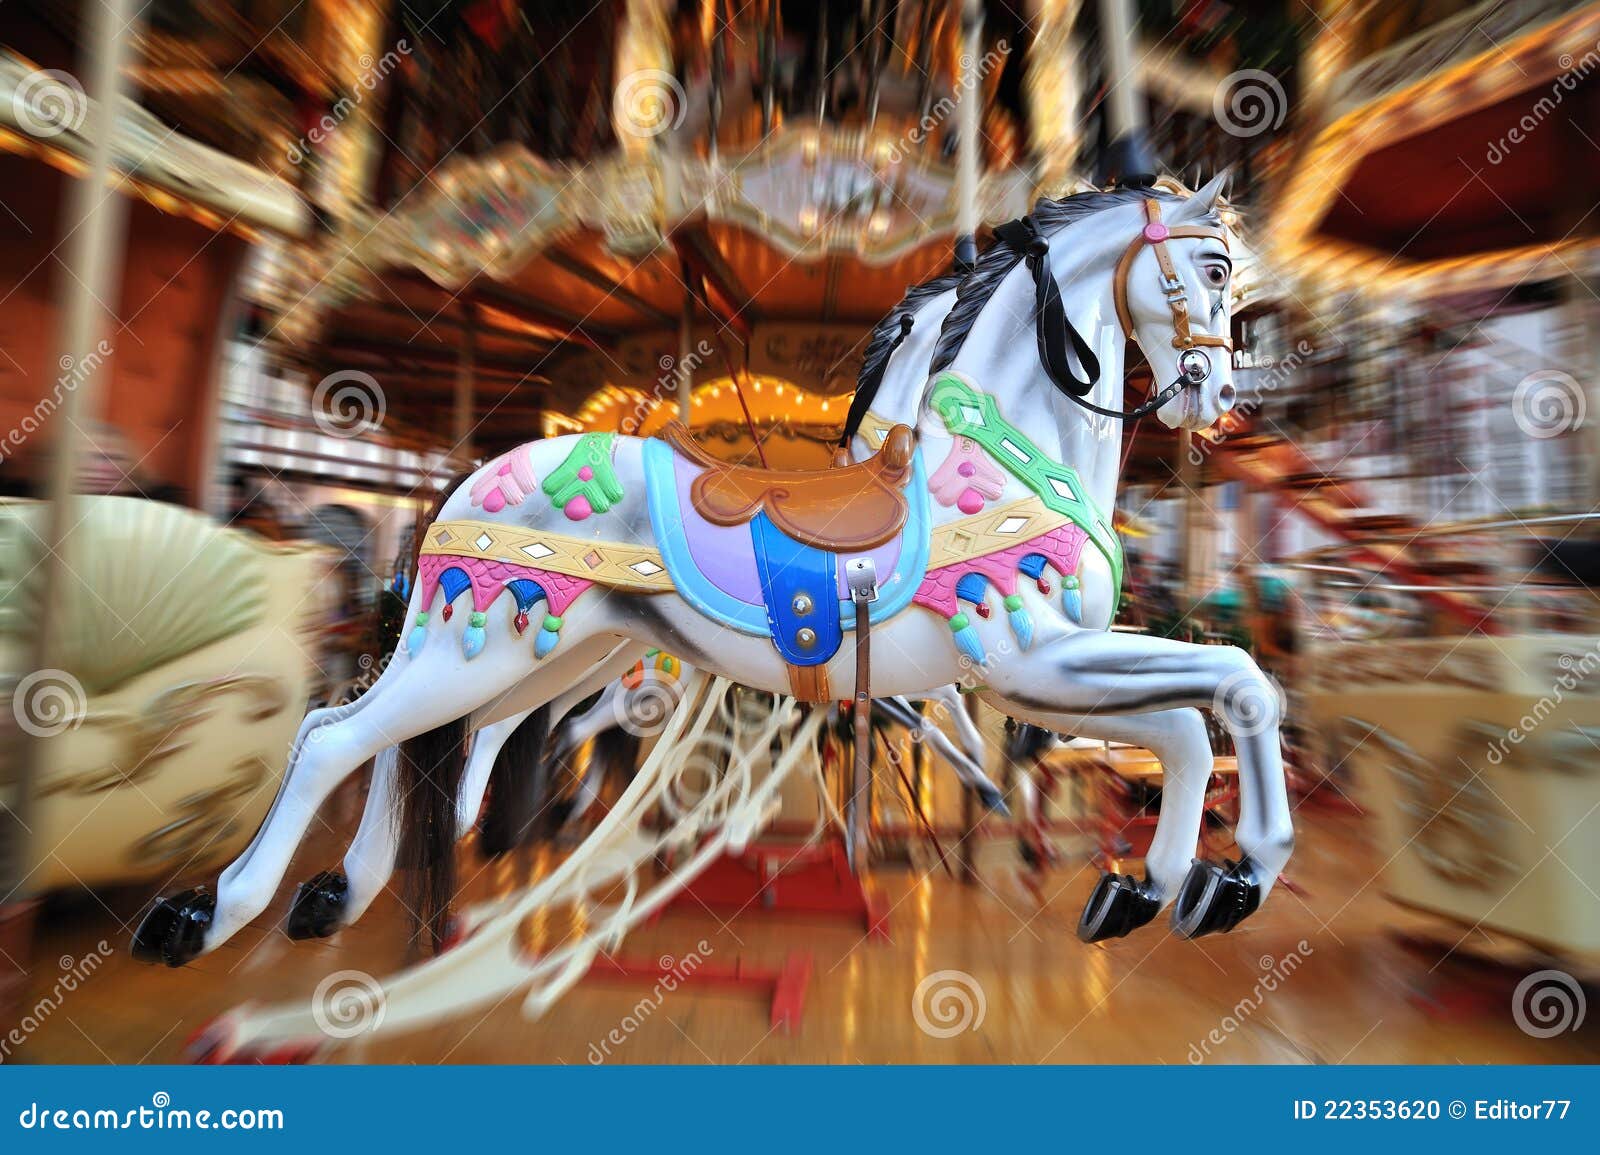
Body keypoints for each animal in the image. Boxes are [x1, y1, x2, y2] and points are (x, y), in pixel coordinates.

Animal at [133, 176, 1292, 969]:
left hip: (537, 655)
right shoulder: (1028, 660)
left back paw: (346, 891)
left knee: (421, 743)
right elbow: (1234, 692)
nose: (1218, 398)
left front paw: (1152, 889)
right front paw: (1229, 878)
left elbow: (1194, 720)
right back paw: (205, 914)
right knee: (333, 735)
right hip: (482, 647)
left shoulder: (1030, 675)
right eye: (1217, 269)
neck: (1001, 452)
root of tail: (464, 484)